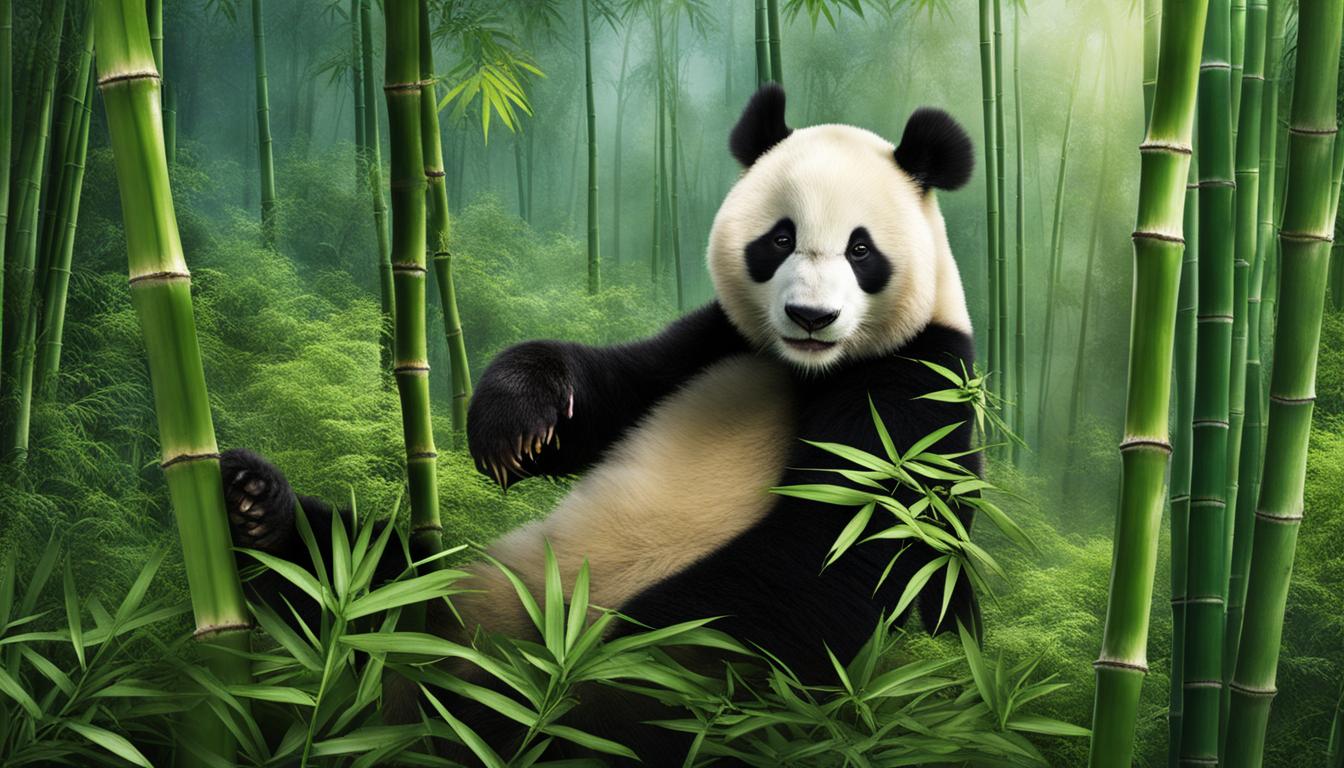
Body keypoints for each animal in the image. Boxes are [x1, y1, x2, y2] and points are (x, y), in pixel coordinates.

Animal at [220, 83, 982, 760]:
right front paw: (512, 422)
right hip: (466, 593)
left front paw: (590, 681)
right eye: (779, 239)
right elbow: (605, 390)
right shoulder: (713, 344)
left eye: (861, 250)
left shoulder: (918, 389)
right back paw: (258, 507)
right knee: (368, 575)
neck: (803, 371)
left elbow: (826, 550)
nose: (810, 317)